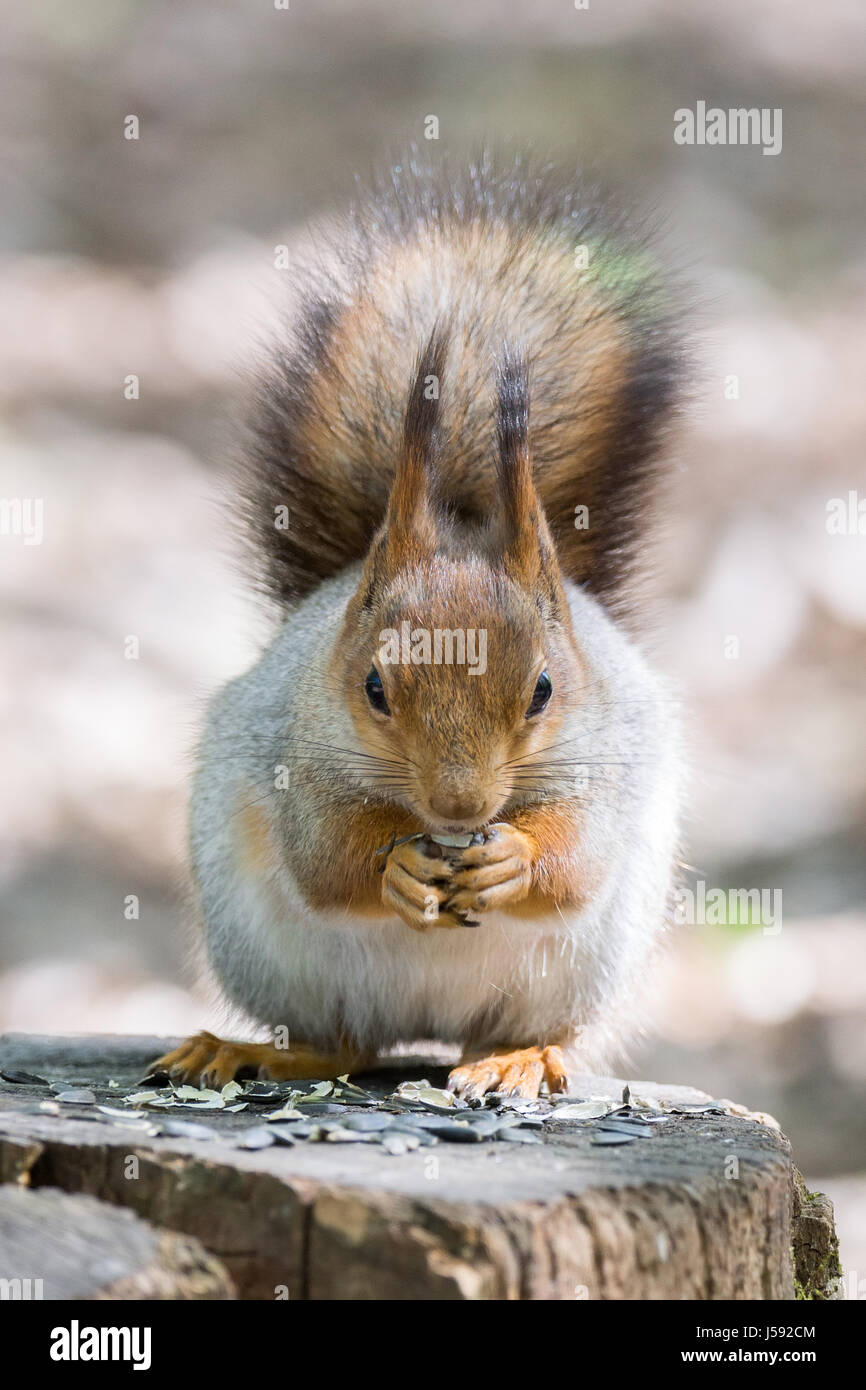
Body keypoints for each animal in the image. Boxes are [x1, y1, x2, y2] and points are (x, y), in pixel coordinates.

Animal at [154, 153, 683, 1100]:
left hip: (585, 970)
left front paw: (516, 858)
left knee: (541, 1030)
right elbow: (324, 857)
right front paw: (391, 864)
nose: (460, 804)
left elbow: (579, 856)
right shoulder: (293, 752)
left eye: (544, 688)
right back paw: (252, 1051)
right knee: (340, 1046)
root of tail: (430, 1030)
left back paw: (520, 1058)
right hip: (288, 969)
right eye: (373, 687)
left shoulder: (611, 754)